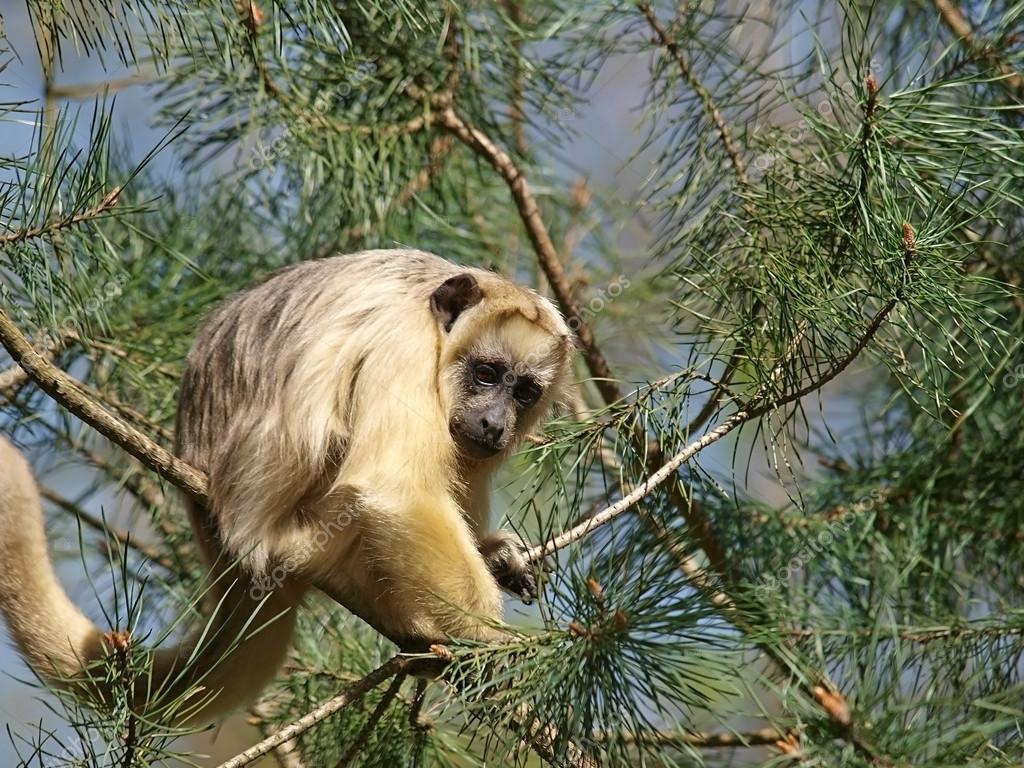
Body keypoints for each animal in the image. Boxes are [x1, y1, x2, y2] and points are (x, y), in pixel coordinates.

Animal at [0, 249, 574, 723]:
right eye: (486, 373)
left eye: (524, 391)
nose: (496, 422)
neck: (438, 331)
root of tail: (224, 555)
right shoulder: (402, 342)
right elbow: (397, 489)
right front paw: (495, 646)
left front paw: (497, 555)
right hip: (305, 540)